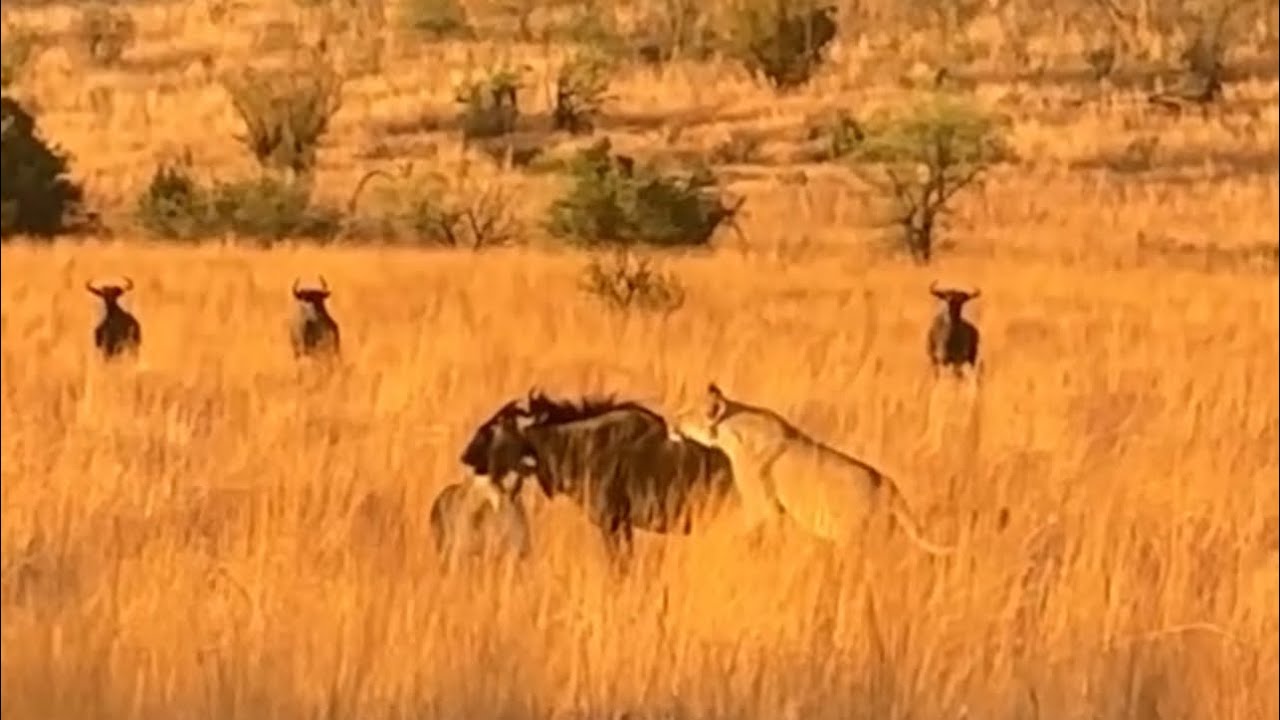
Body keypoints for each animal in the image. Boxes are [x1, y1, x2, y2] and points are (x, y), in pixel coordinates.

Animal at [672, 382, 955, 556]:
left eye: (687, 414)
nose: (672, 423)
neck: (733, 430)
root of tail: (889, 486)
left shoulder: (763, 508)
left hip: (852, 537)